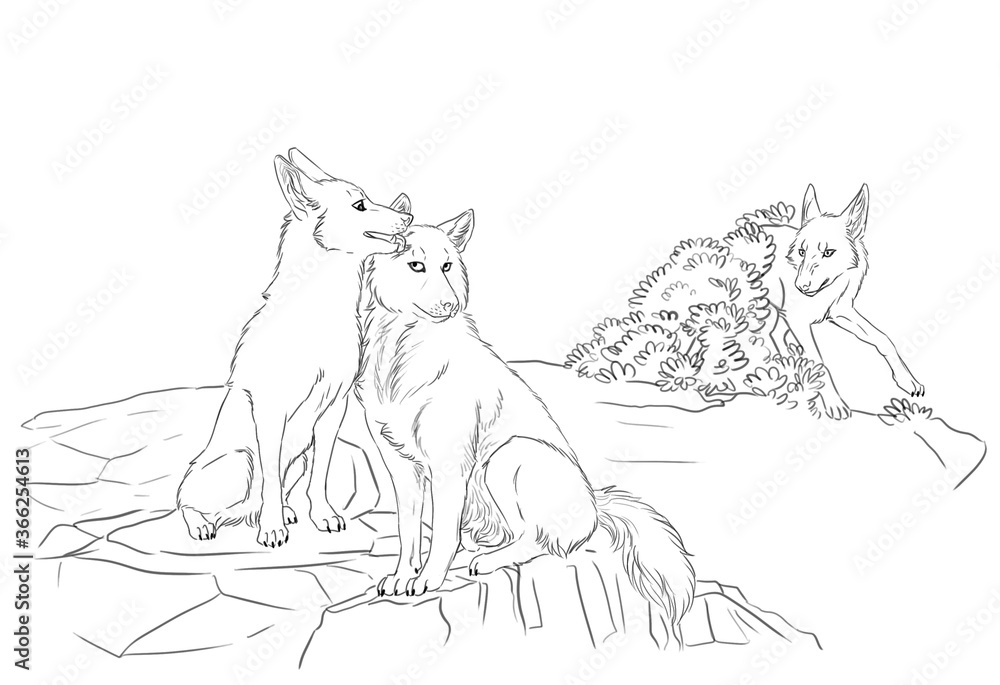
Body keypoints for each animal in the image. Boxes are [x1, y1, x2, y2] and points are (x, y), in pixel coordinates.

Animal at [176, 149, 413, 546]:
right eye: (360, 205)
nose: (409, 218)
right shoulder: (270, 412)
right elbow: (270, 477)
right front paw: (271, 529)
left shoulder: (334, 408)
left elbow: (321, 473)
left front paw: (323, 516)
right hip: (239, 459)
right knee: (189, 501)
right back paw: (205, 525)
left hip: (296, 456)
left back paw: (281, 512)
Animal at [358, 211, 695, 644]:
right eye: (416, 265)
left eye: (447, 266)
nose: (450, 304)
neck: (403, 353)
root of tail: (595, 505)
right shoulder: (402, 468)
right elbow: (408, 530)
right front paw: (403, 575)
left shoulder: (450, 467)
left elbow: (443, 534)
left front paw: (429, 579)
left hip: (508, 456)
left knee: (536, 541)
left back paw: (489, 560)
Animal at [748, 184, 924, 419]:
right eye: (802, 252)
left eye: (828, 252)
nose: (800, 287)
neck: (828, 290)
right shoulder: (798, 322)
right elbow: (820, 364)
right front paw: (834, 404)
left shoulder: (841, 312)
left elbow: (883, 339)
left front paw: (907, 380)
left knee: (775, 336)